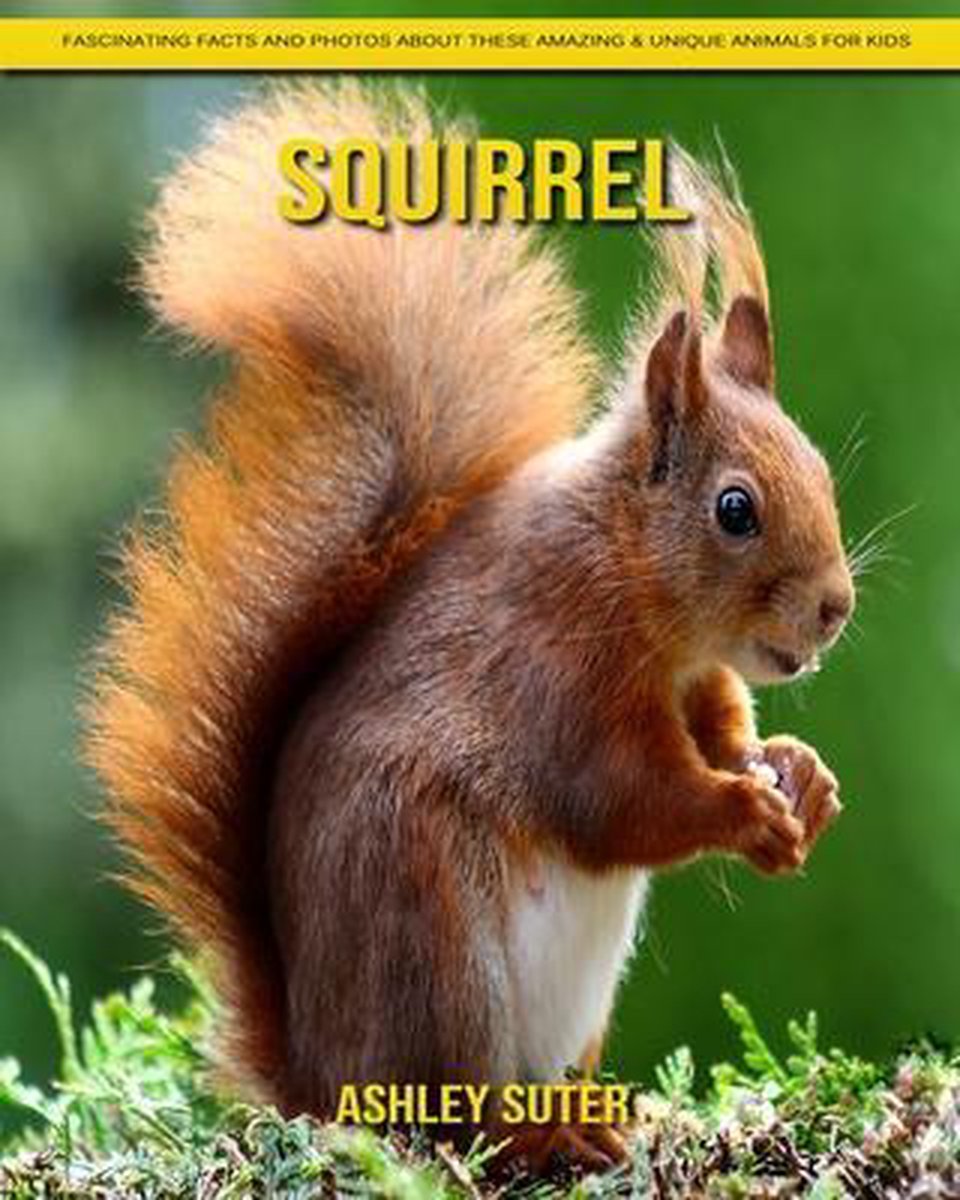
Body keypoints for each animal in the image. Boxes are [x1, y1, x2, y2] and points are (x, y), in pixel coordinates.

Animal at [85, 81, 854, 1173]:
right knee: (452, 1124)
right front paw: (743, 812)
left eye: (821, 469)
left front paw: (797, 773)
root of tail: (319, 1078)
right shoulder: (554, 669)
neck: (634, 586)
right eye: (736, 509)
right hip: (430, 938)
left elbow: (721, 729)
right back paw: (542, 1138)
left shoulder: (697, 680)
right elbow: (621, 799)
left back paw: (594, 1117)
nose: (836, 606)